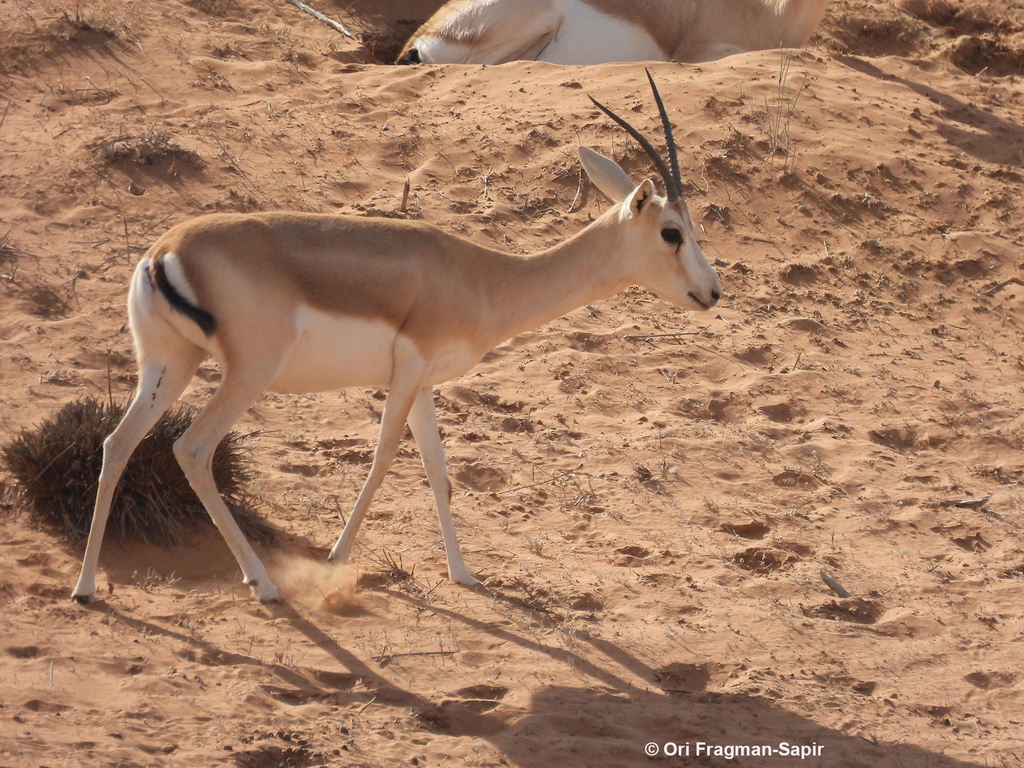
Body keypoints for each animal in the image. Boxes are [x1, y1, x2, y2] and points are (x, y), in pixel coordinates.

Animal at [71, 72, 721, 605]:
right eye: (671, 232)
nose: (712, 291)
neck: (483, 278)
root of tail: (163, 252)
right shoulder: (407, 371)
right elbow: (385, 457)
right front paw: (336, 559)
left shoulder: (427, 384)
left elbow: (438, 469)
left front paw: (463, 575)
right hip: (246, 375)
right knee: (192, 449)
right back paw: (264, 584)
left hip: (168, 366)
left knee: (117, 443)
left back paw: (86, 589)